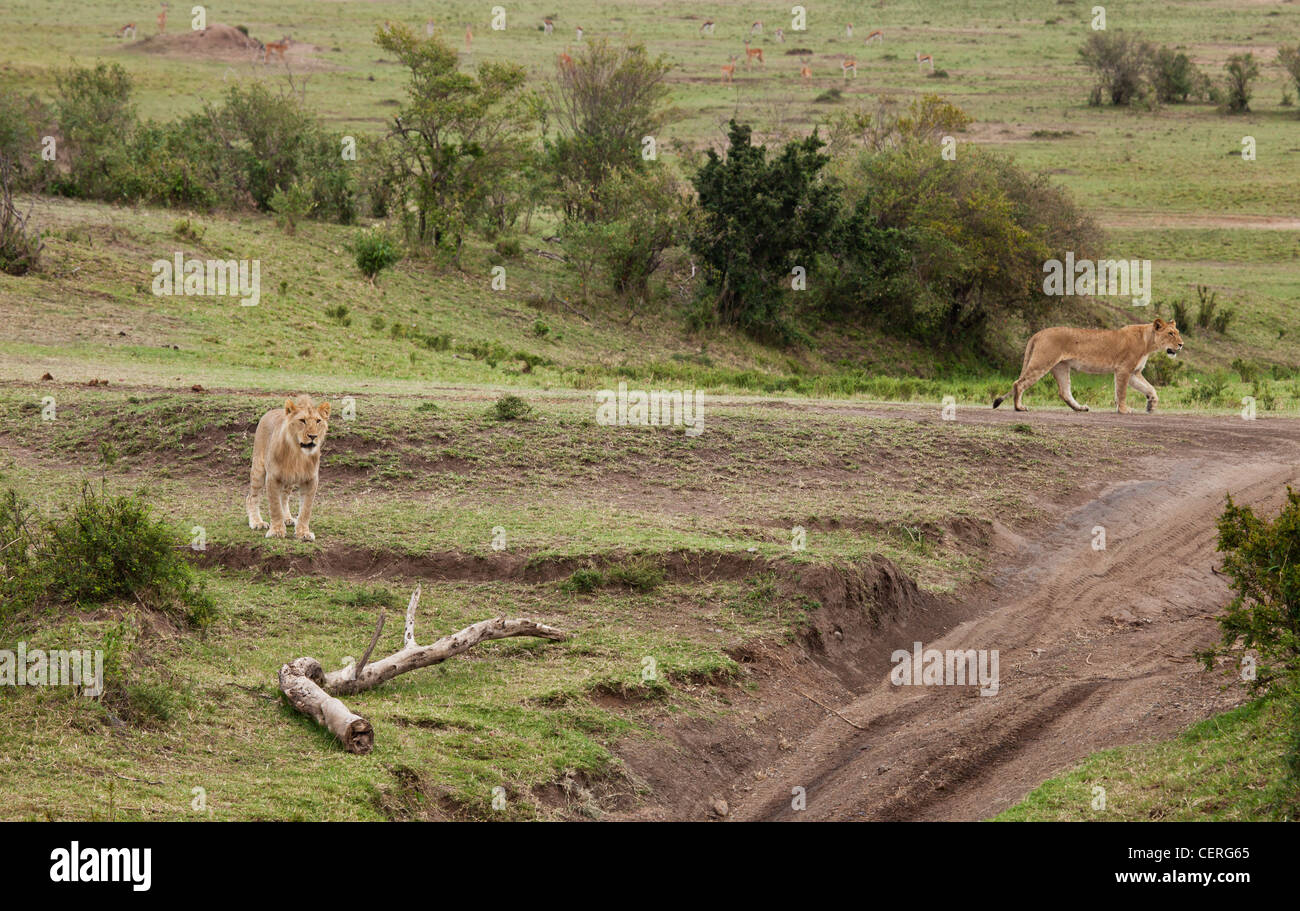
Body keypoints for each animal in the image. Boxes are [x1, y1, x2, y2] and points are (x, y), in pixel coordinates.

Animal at [246, 395, 330, 540]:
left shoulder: (311, 480)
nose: (313, 436)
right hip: (258, 469)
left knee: (284, 497)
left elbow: (306, 509)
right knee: (252, 497)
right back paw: (257, 522)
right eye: (302, 420)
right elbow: (275, 507)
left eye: (318, 421)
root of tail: (271, 411)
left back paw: (287, 518)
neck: (298, 454)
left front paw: (303, 533)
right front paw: (276, 531)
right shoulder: (272, 477)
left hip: (289, 479)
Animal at [993, 319, 1184, 414]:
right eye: (1170, 333)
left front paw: (1151, 404)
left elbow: (1150, 388)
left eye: (1177, 333)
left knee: (1064, 392)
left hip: (1061, 367)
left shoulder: (1134, 373)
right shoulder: (1123, 369)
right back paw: (1019, 407)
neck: (1148, 342)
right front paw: (1123, 410)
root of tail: (1038, 333)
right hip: (1042, 362)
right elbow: (1121, 392)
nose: (1181, 344)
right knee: (1018, 383)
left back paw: (1080, 408)